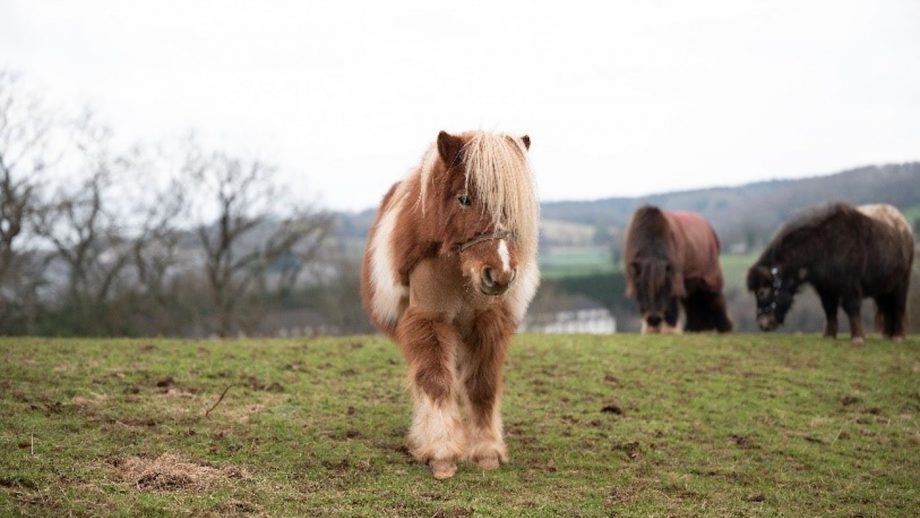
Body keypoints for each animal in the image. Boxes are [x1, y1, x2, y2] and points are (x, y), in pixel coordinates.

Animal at [360, 130, 539, 479]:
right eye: (464, 198)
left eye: (511, 204)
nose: (499, 274)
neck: (459, 273)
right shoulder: (428, 322)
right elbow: (435, 382)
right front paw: (442, 452)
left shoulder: (486, 322)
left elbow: (482, 385)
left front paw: (486, 450)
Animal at [624, 205, 732, 334]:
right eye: (640, 284)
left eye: (664, 284)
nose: (654, 319)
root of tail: (709, 227)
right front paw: (649, 330)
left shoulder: (674, 278)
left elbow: (672, 302)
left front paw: (669, 330)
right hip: (691, 281)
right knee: (692, 301)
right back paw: (695, 329)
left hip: (709, 277)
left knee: (714, 298)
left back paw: (724, 329)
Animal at [746, 202, 914, 344]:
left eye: (761, 292)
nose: (762, 324)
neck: (824, 246)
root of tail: (904, 225)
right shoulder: (825, 288)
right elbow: (829, 309)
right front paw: (829, 335)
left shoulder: (850, 286)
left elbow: (851, 307)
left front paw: (857, 338)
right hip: (882, 288)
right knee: (887, 307)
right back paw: (887, 335)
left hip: (902, 281)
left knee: (899, 305)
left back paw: (898, 336)